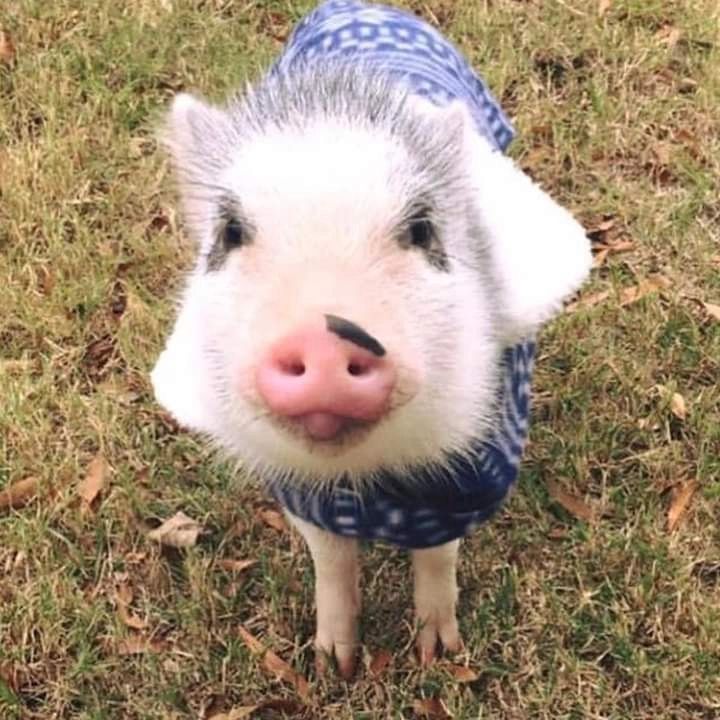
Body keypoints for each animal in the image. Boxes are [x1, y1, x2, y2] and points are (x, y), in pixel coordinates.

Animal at [151, 0, 591, 678]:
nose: (325, 331)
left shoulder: (469, 471)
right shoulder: (300, 492)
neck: (371, 481)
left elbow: (440, 556)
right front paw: (334, 665)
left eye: (422, 229)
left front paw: (440, 654)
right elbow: (330, 559)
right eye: (229, 233)